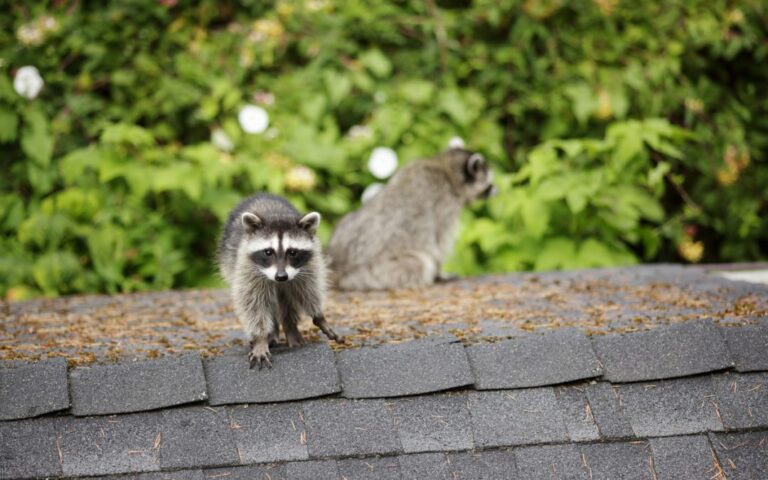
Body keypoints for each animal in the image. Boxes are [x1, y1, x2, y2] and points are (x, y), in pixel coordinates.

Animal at [217, 193, 341, 368]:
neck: (276, 215)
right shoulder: (247, 268)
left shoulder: (309, 265)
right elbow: (253, 303)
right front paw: (261, 338)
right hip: (229, 260)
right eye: (268, 252)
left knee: (287, 300)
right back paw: (272, 333)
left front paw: (319, 316)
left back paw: (290, 327)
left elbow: (308, 290)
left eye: (293, 252)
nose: (281, 277)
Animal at [328, 148, 496, 291]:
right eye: (489, 184)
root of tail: (339, 269)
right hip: (375, 272)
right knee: (420, 263)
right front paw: (440, 273)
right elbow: (439, 243)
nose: (496, 190)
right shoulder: (444, 204)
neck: (444, 167)